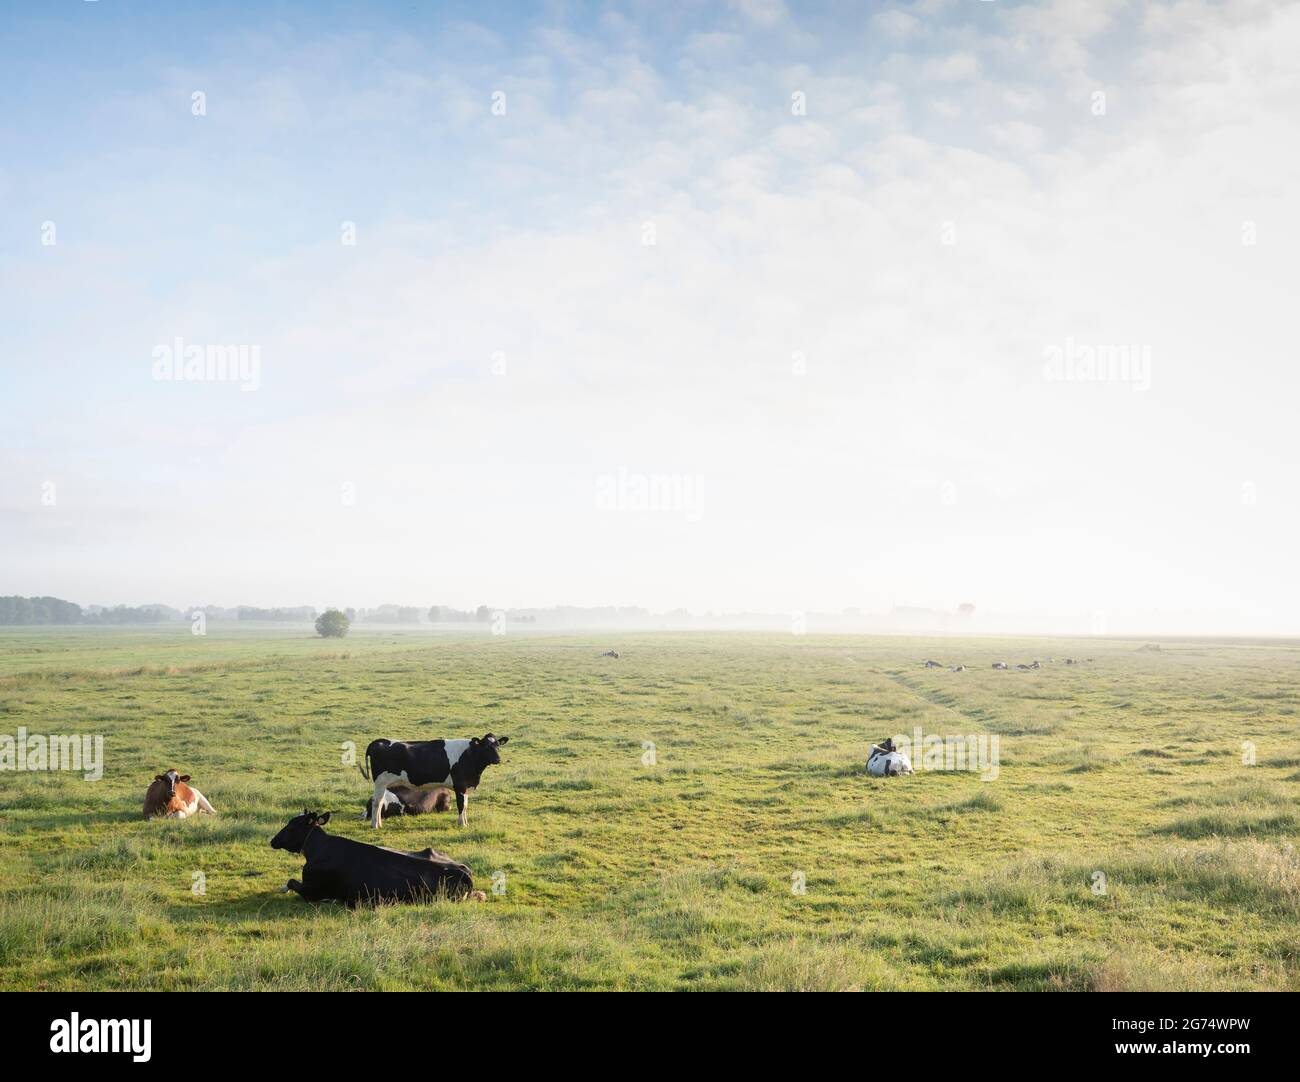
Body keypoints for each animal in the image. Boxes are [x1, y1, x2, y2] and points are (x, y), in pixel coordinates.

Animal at [270, 811, 474, 905]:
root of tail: (464, 871)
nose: (272, 840)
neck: (318, 848)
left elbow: (291, 881)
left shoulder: (312, 890)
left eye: (291, 825)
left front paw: (283, 888)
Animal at [361, 733, 509, 829]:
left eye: (498, 745)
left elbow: (466, 806)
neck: (469, 755)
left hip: (385, 784)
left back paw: (379, 824)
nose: (498, 759)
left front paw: (466, 823)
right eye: (486, 746)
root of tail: (380, 741)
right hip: (380, 782)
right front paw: (462, 825)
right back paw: (374, 825)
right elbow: (461, 806)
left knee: (380, 802)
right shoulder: (460, 786)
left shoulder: (466, 787)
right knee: (376, 802)